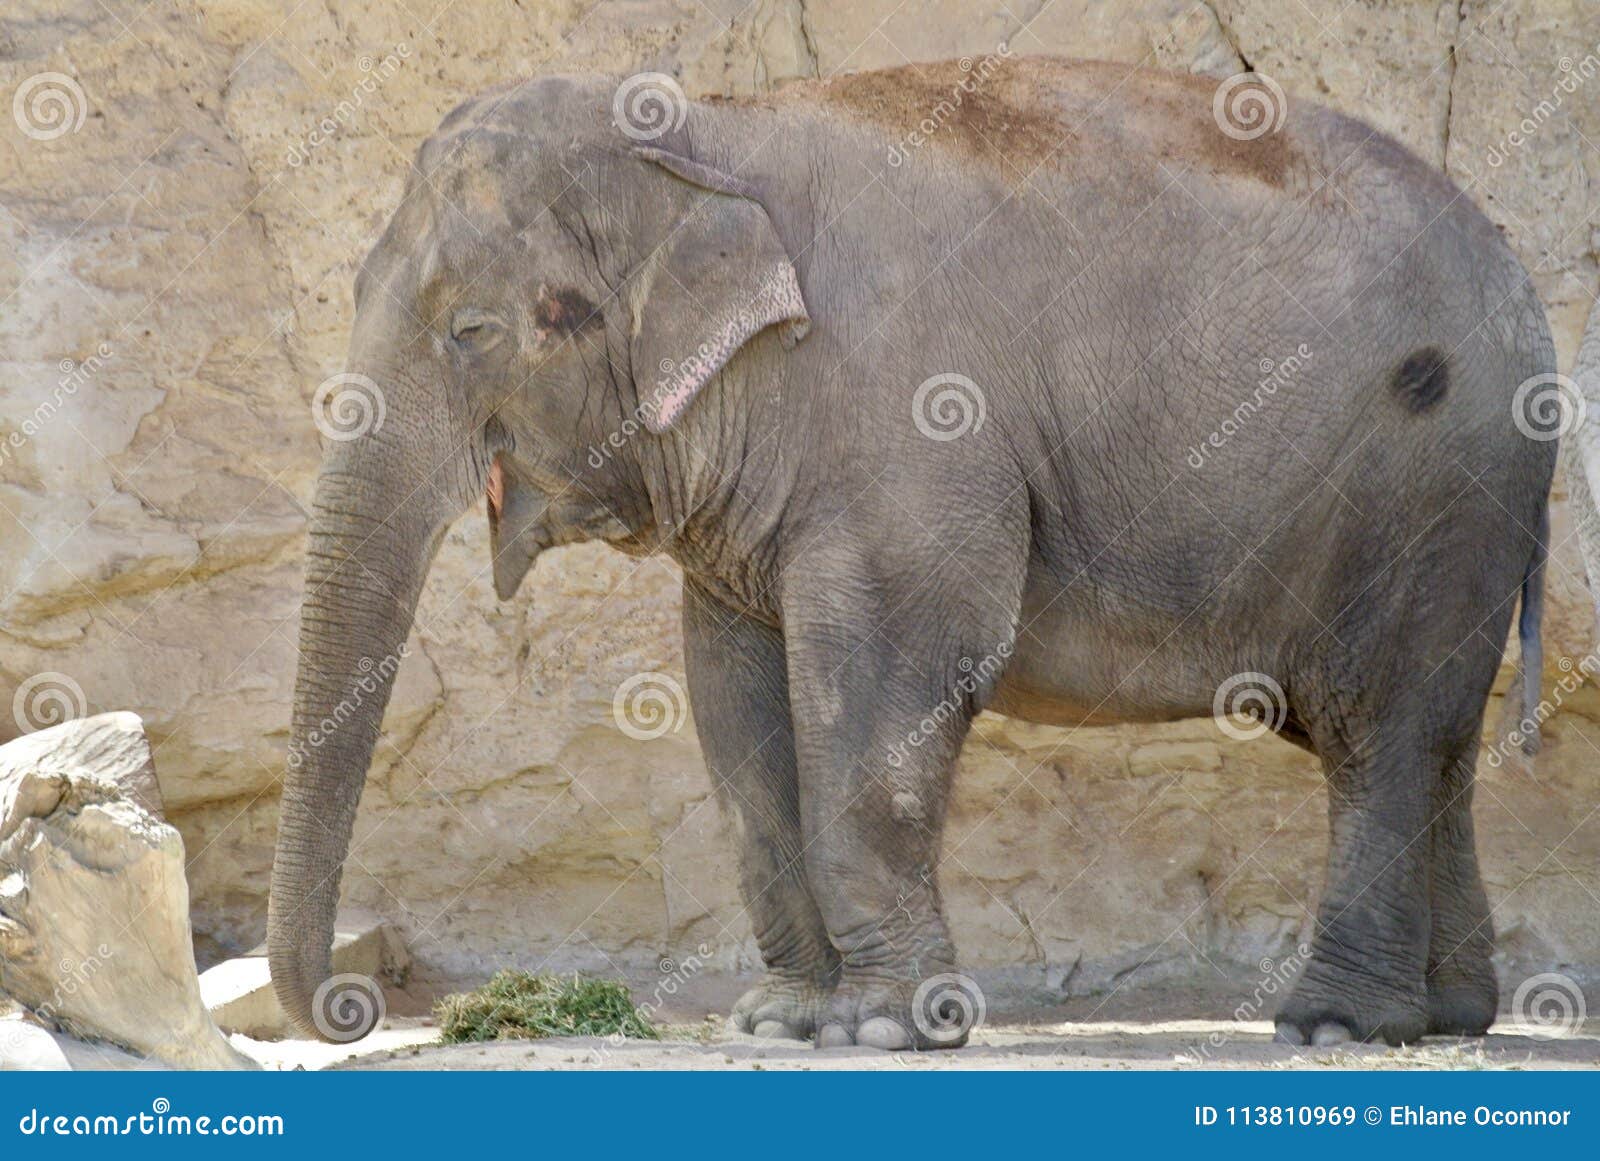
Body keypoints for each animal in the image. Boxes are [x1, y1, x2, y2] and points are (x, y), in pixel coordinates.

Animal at [268, 56, 1584, 1051]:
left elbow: (892, 676)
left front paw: (880, 1030)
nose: (355, 1009)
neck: (708, 126)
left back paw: (1334, 1027)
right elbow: (734, 704)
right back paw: (1448, 1016)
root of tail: (1526, 293)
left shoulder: (907, 428)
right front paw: (781, 1022)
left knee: (1378, 733)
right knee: (1433, 743)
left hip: (1426, 492)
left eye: (471, 329)